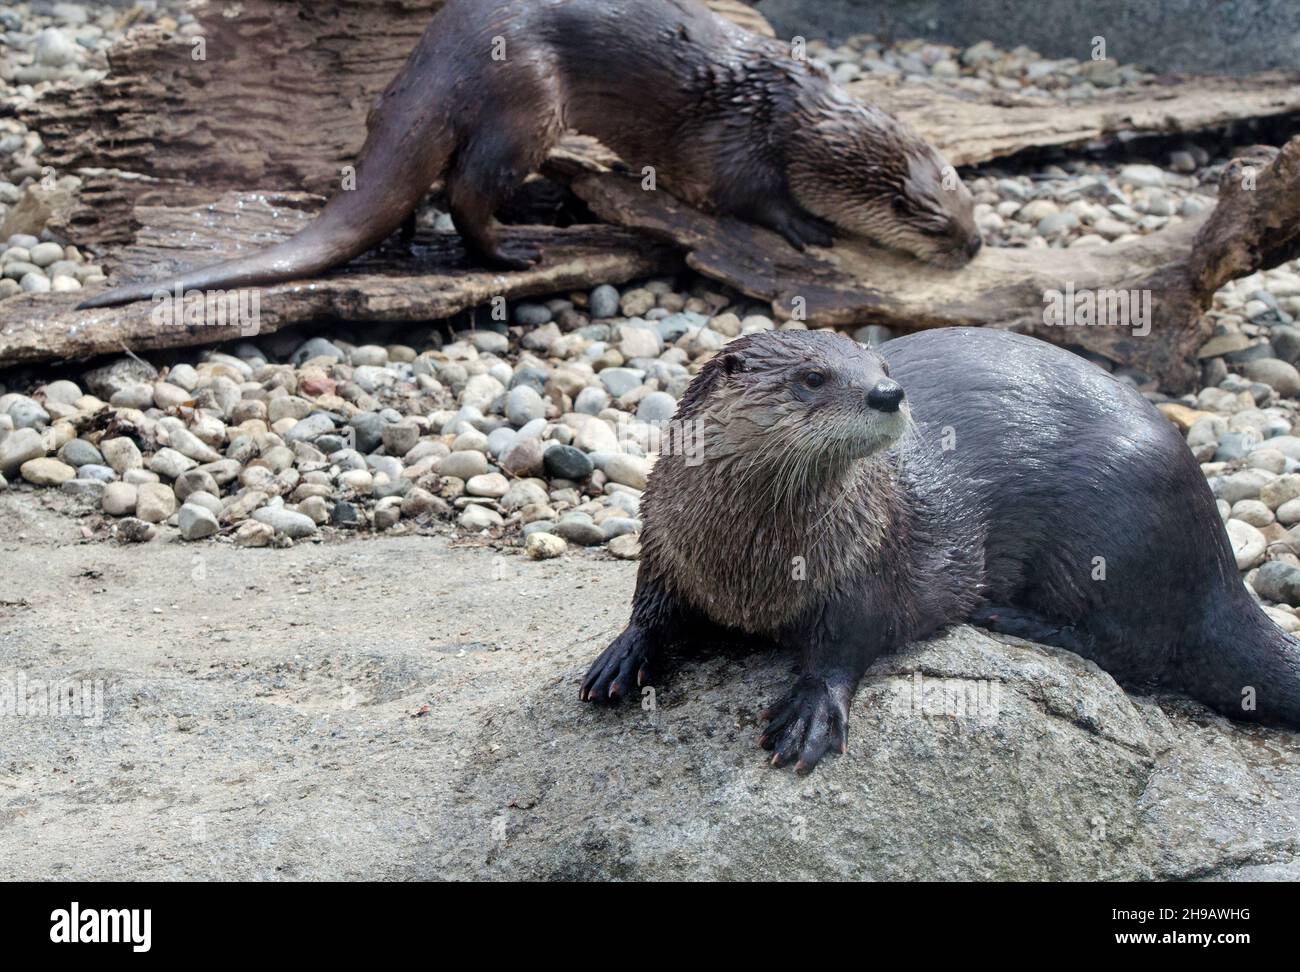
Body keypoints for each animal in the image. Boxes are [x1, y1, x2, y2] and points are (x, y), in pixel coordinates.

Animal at [77, 0, 979, 311]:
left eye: (972, 204)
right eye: (933, 222)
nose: (974, 249)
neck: (794, 111)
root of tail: (442, 51)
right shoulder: (740, 144)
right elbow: (748, 196)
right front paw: (805, 226)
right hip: (531, 102)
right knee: (467, 190)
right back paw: (510, 252)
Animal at [580, 327, 1300, 773]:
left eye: (884, 369)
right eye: (812, 377)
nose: (888, 393)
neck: (749, 566)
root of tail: (1219, 561)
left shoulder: (870, 562)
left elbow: (849, 638)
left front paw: (811, 709)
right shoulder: (662, 537)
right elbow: (651, 604)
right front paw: (623, 656)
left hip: (1116, 531)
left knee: (1140, 646)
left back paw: (1011, 619)